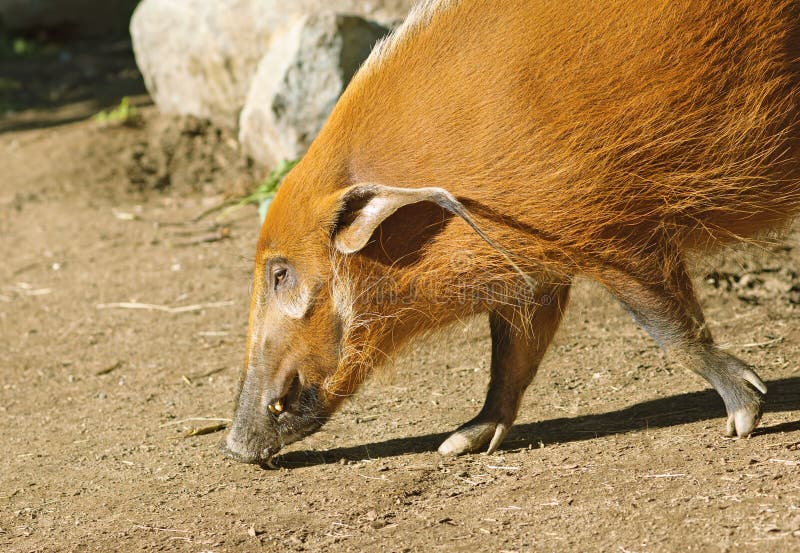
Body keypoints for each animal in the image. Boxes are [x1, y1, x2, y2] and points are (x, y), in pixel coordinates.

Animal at [222, 0, 800, 464]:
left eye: (280, 273)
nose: (232, 448)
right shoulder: (532, 266)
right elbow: (511, 354)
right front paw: (458, 443)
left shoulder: (613, 230)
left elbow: (665, 322)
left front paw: (744, 417)